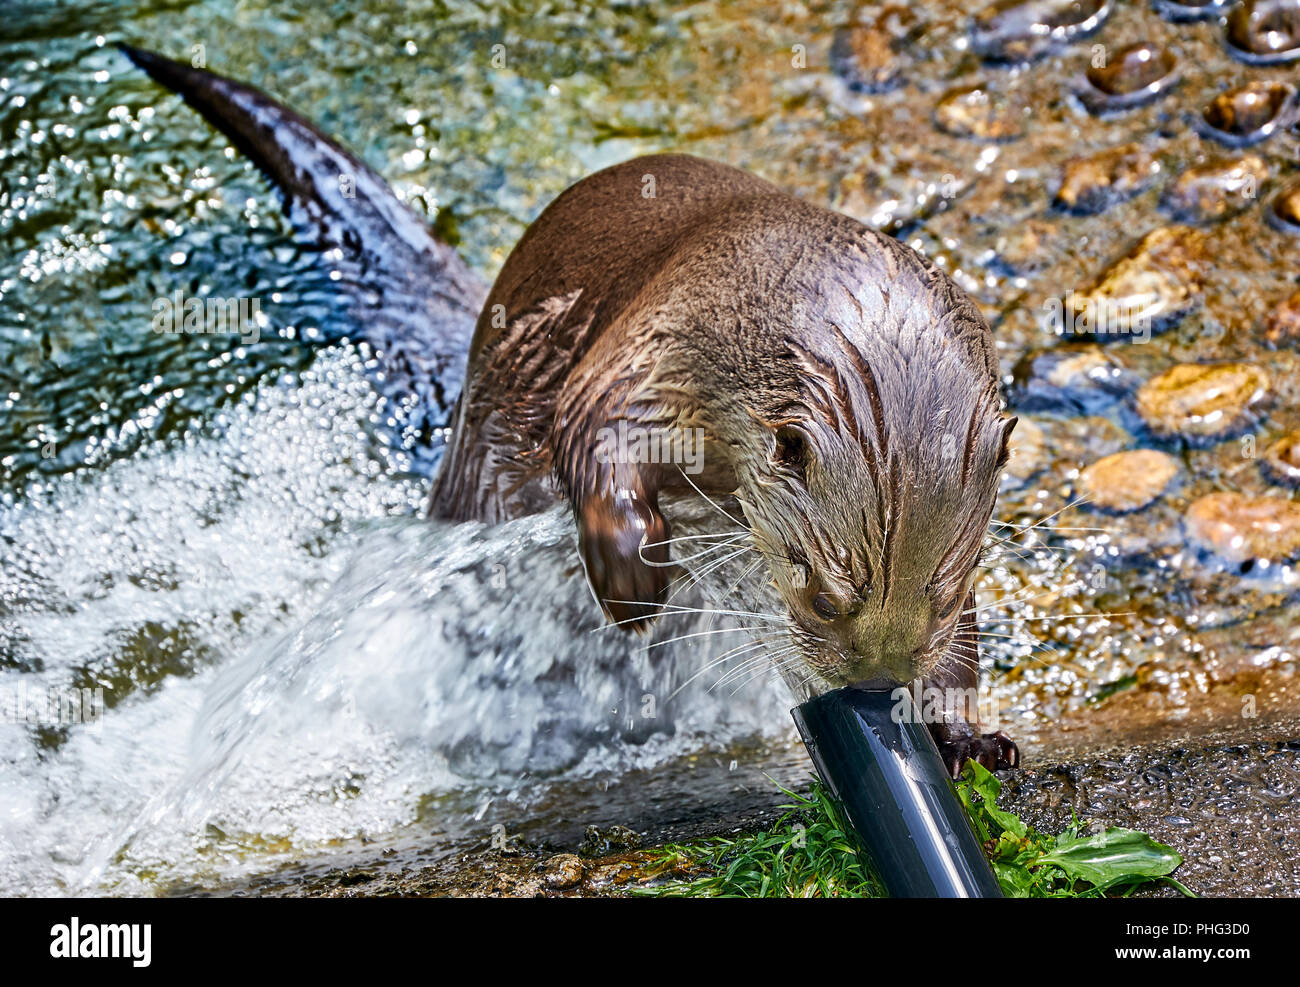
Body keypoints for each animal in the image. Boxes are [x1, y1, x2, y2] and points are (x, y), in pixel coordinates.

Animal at [121, 47, 1018, 776]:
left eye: (941, 598)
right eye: (824, 596)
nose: (875, 681)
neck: (755, 287)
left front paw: (961, 730)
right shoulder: (658, 345)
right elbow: (590, 430)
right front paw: (634, 579)